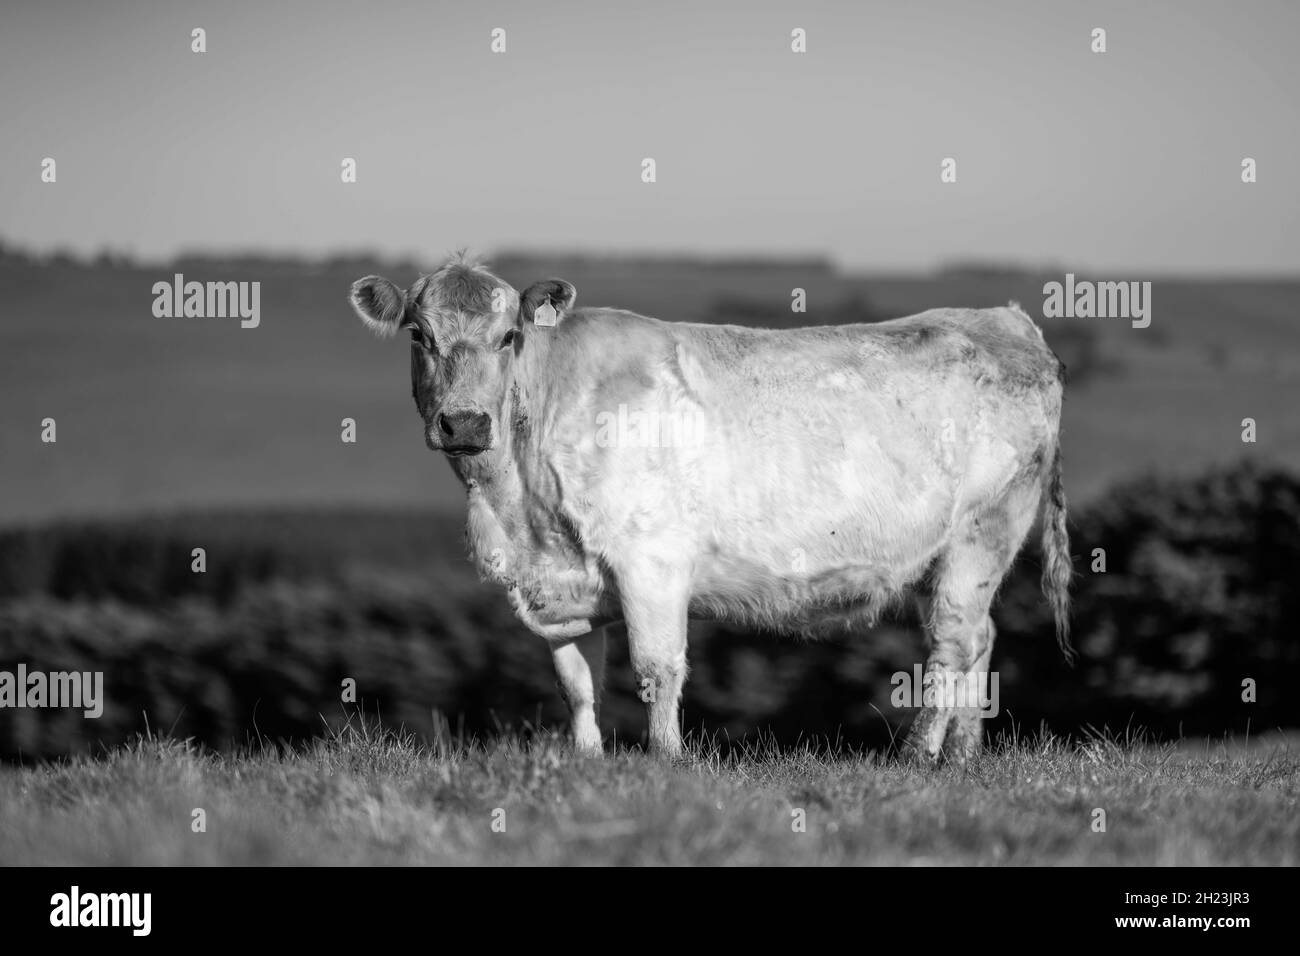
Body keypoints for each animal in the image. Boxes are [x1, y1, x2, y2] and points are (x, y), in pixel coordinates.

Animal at [348, 252, 1072, 763]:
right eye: (418, 335)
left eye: (507, 337)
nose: (465, 422)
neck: (517, 507)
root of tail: (1003, 318)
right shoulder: (560, 584)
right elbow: (577, 682)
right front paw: (586, 763)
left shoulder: (652, 560)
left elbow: (657, 669)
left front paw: (669, 761)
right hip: (943, 555)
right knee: (980, 640)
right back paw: (962, 757)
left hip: (983, 530)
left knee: (953, 645)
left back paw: (919, 756)